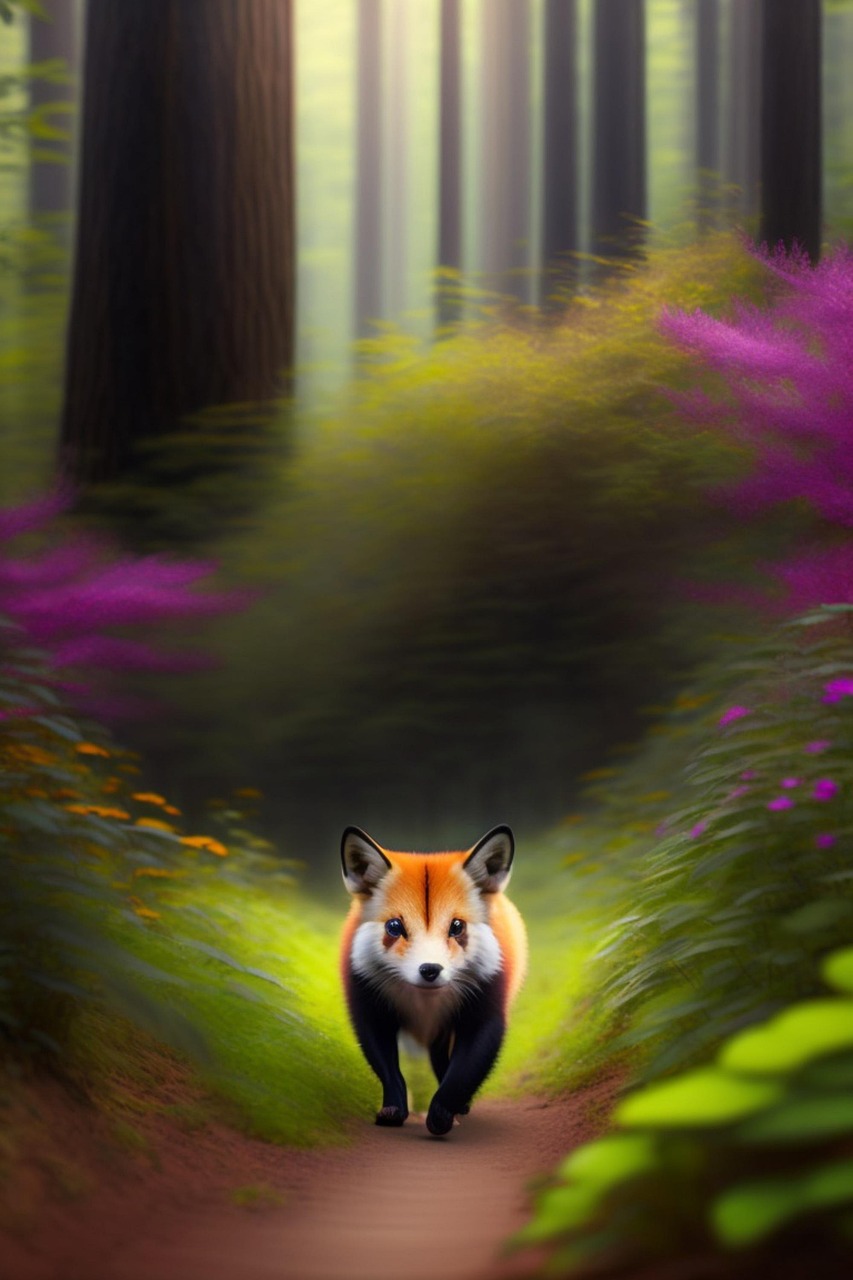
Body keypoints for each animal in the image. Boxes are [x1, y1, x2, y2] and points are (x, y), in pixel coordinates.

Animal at [340, 824, 527, 1136]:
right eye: (394, 926)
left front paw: (442, 1115)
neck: (425, 1005)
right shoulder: (369, 1006)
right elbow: (389, 1070)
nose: (430, 969)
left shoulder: (486, 1013)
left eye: (457, 926)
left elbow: (461, 1076)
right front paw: (393, 1111)